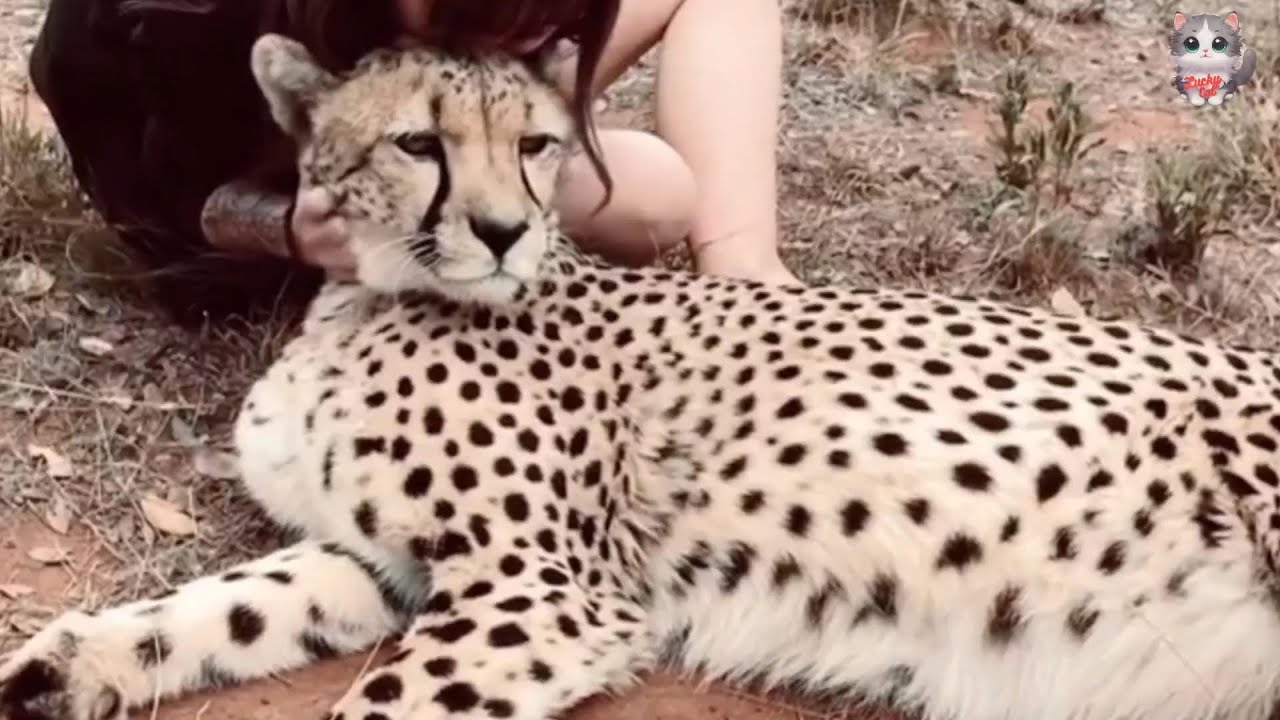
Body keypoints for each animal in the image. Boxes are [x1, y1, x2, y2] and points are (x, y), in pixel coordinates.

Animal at [5, 31, 1280, 720]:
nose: (503, 231)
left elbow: (381, 700)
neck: (372, 289)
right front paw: (55, 668)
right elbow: (209, 610)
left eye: (535, 145)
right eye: (418, 143)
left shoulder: (541, 588)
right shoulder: (375, 559)